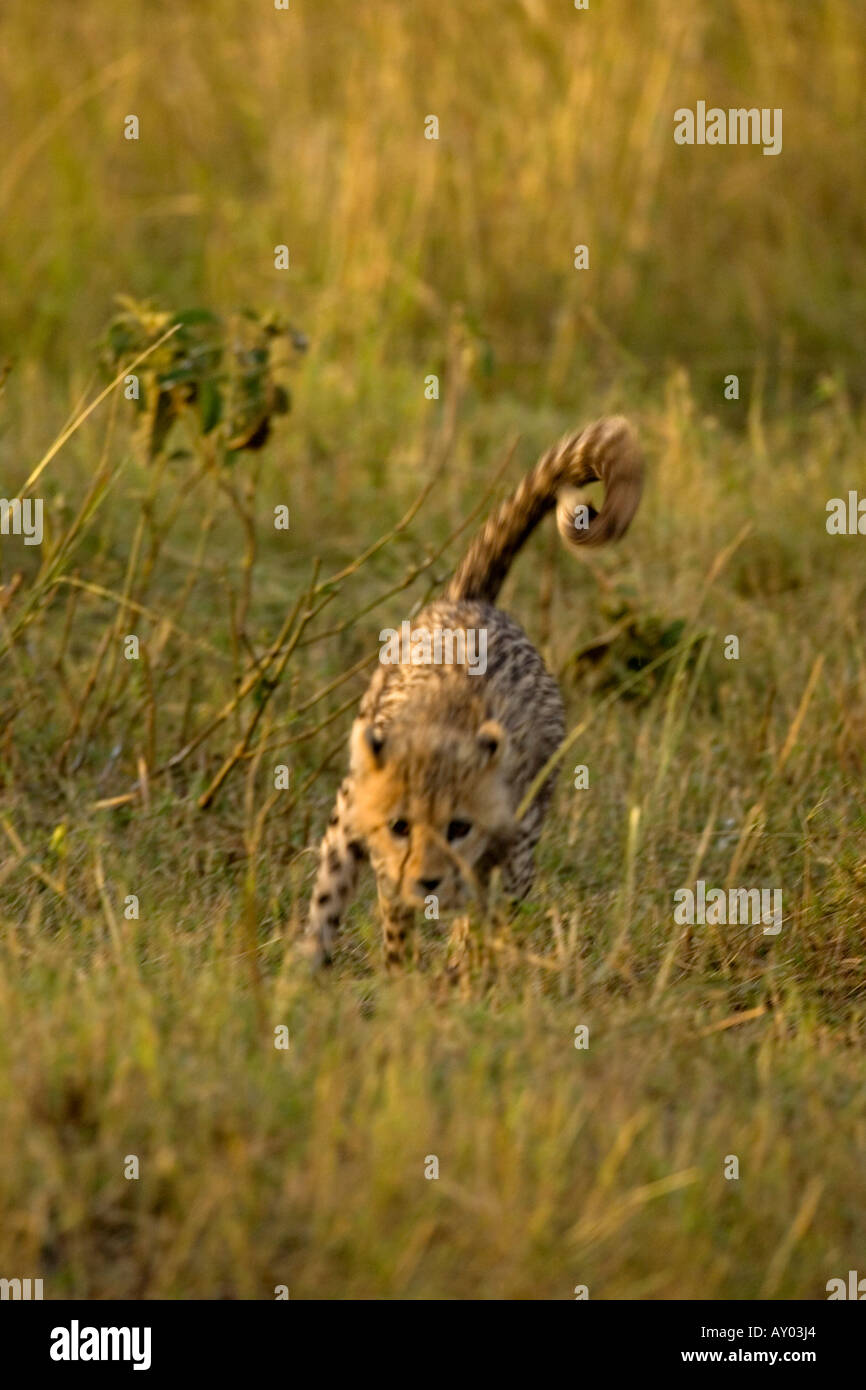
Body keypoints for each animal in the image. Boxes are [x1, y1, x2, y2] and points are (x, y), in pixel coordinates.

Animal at [305, 415, 644, 969]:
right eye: (401, 826)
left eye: (458, 827)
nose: (429, 880)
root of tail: (471, 602)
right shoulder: (377, 849)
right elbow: (389, 922)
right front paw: (401, 978)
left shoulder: (510, 853)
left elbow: (479, 929)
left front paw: (457, 977)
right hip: (348, 814)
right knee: (329, 896)